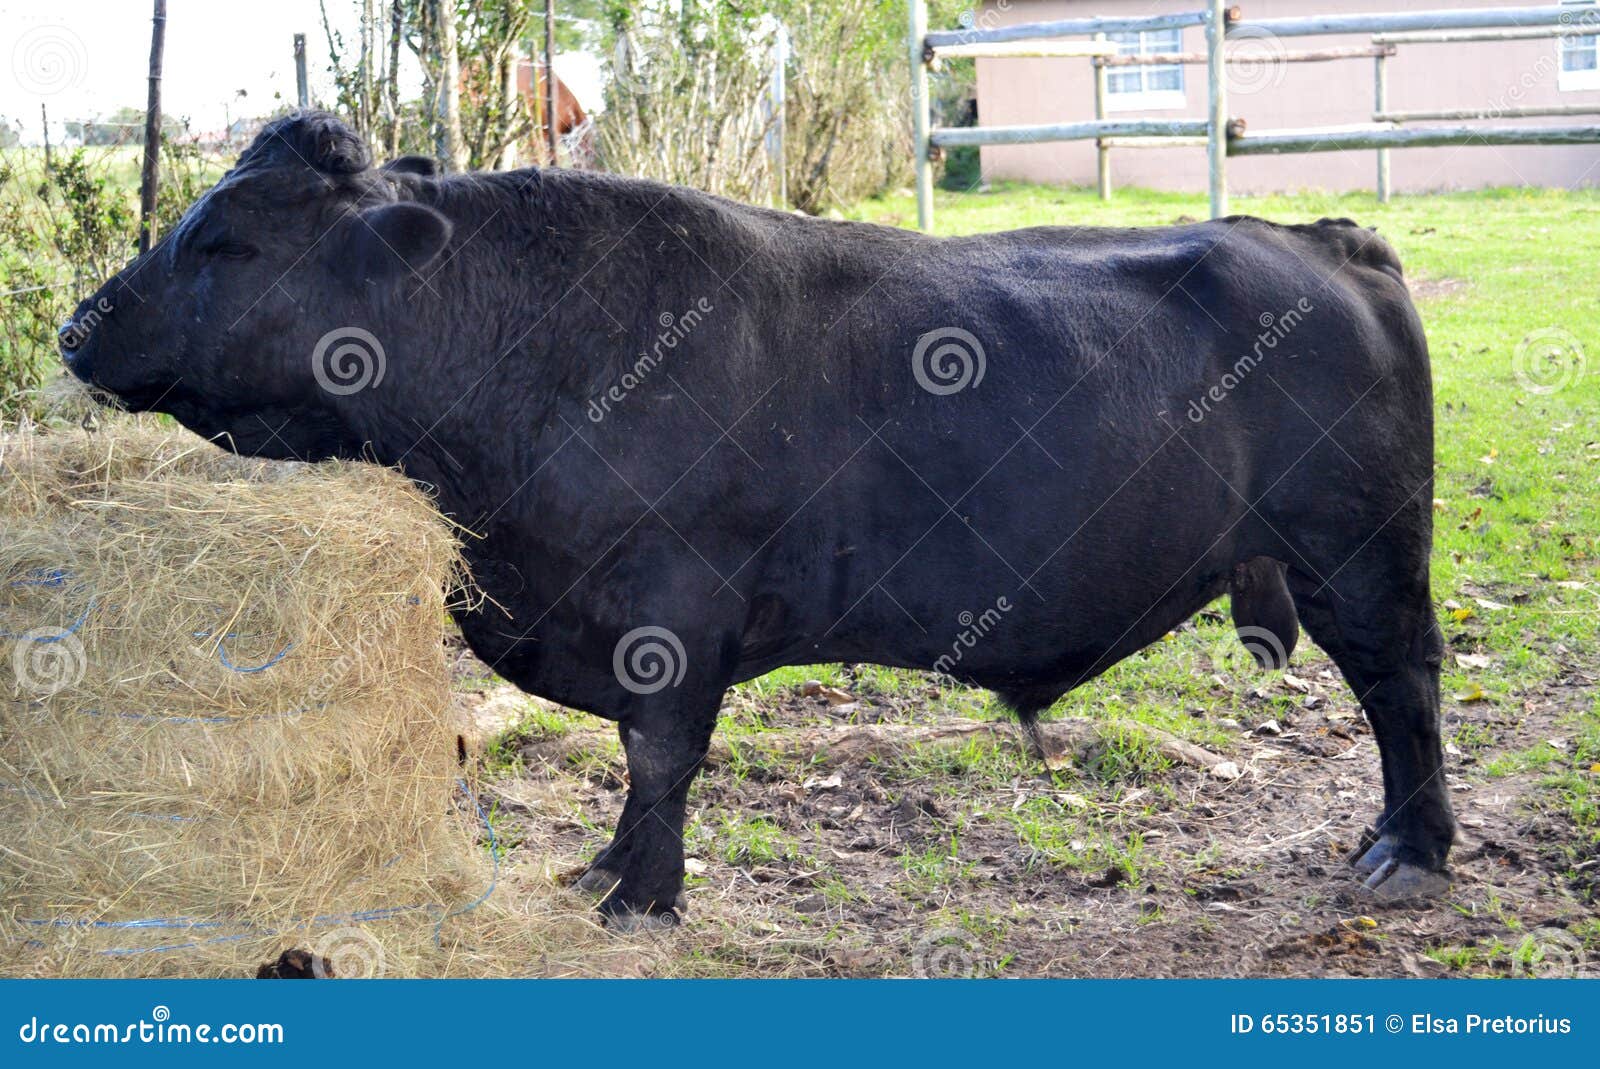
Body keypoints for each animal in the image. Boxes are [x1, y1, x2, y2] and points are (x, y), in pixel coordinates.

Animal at [61, 112, 1453, 929]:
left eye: (225, 241)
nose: (74, 327)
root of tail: (1322, 237)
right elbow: (639, 769)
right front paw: (604, 873)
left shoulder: (674, 613)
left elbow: (659, 756)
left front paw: (642, 899)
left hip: (1359, 558)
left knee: (1404, 689)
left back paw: (1411, 848)